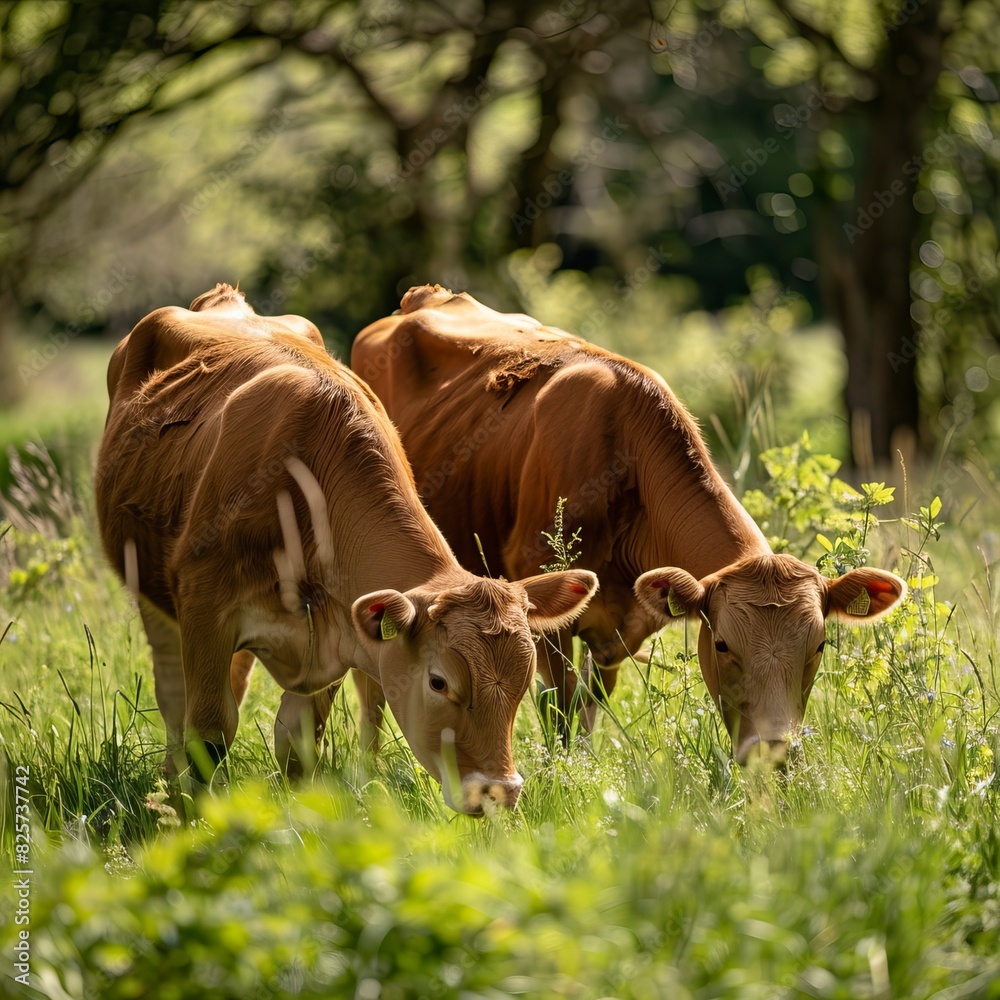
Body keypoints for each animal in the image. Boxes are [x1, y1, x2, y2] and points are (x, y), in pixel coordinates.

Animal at [95, 283, 597, 813]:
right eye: (439, 681)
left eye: (524, 681)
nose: (499, 791)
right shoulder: (205, 605)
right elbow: (208, 734)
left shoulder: (331, 639)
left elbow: (295, 746)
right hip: (154, 596)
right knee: (174, 699)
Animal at [349, 284, 906, 767]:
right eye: (722, 645)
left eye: (819, 646)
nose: (773, 751)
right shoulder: (545, 606)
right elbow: (558, 707)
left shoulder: (621, 628)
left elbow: (592, 703)